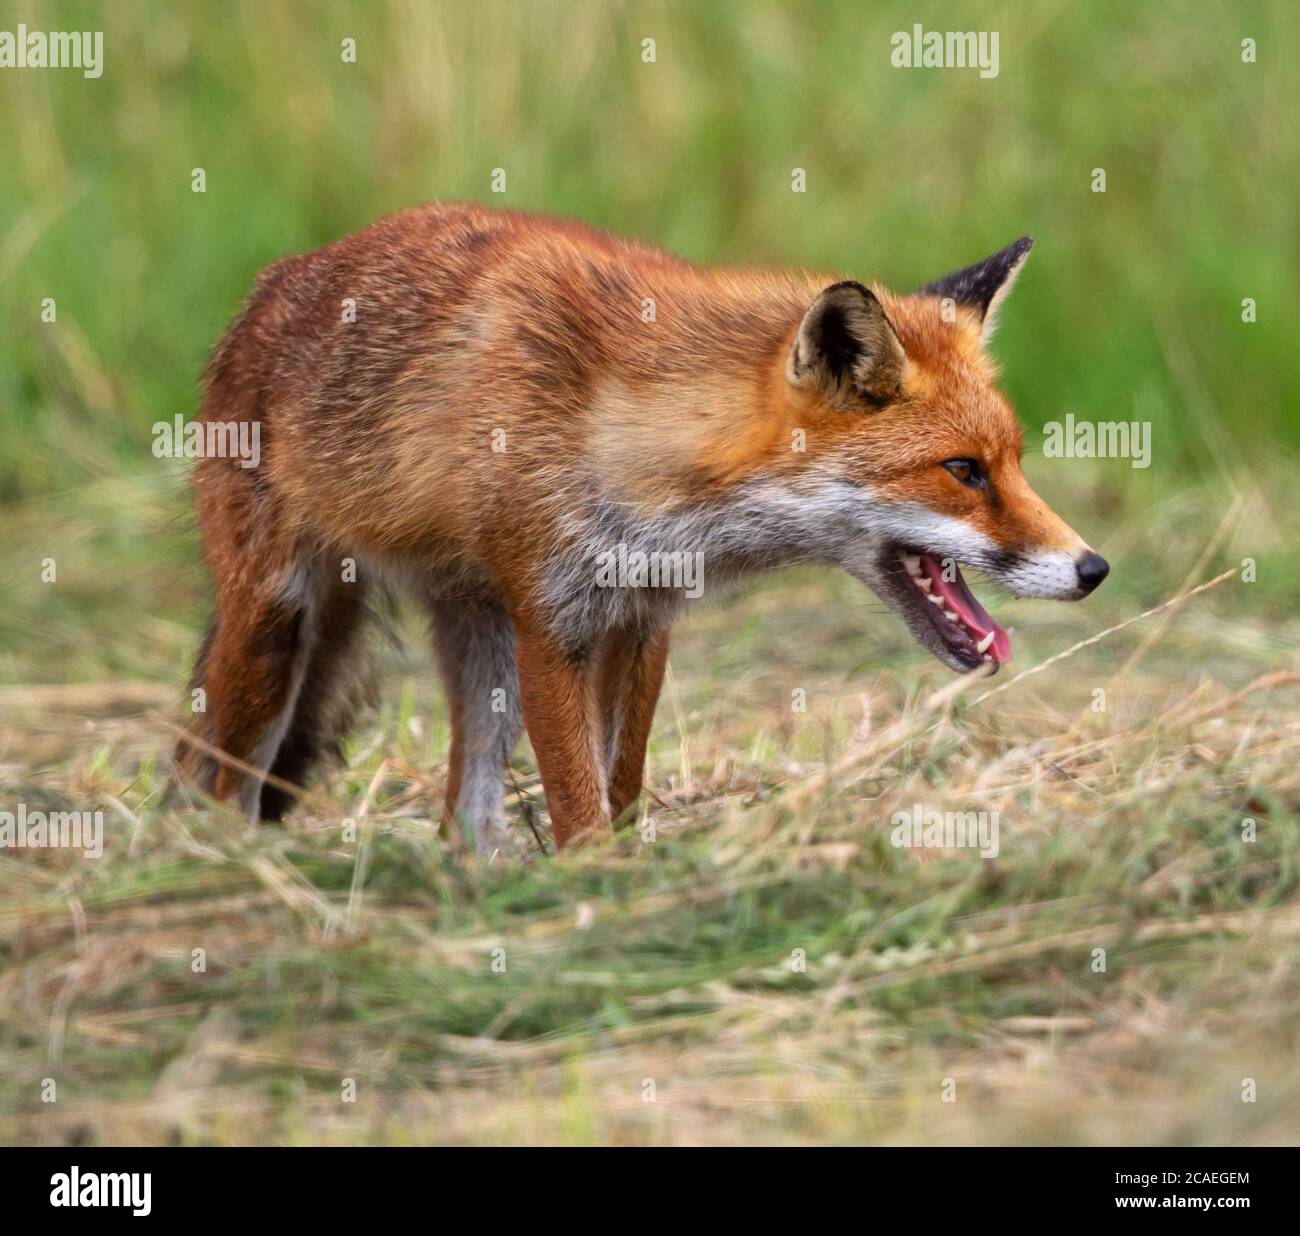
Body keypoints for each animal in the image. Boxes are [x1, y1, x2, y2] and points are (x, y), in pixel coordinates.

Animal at [174, 203, 1108, 854]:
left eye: (1014, 461)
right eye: (963, 471)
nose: (1093, 568)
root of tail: (271, 285)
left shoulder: (645, 616)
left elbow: (619, 784)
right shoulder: (551, 622)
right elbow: (578, 800)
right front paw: (595, 892)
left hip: (480, 646)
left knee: (463, 813)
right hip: (276, 627)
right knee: (220, 782)